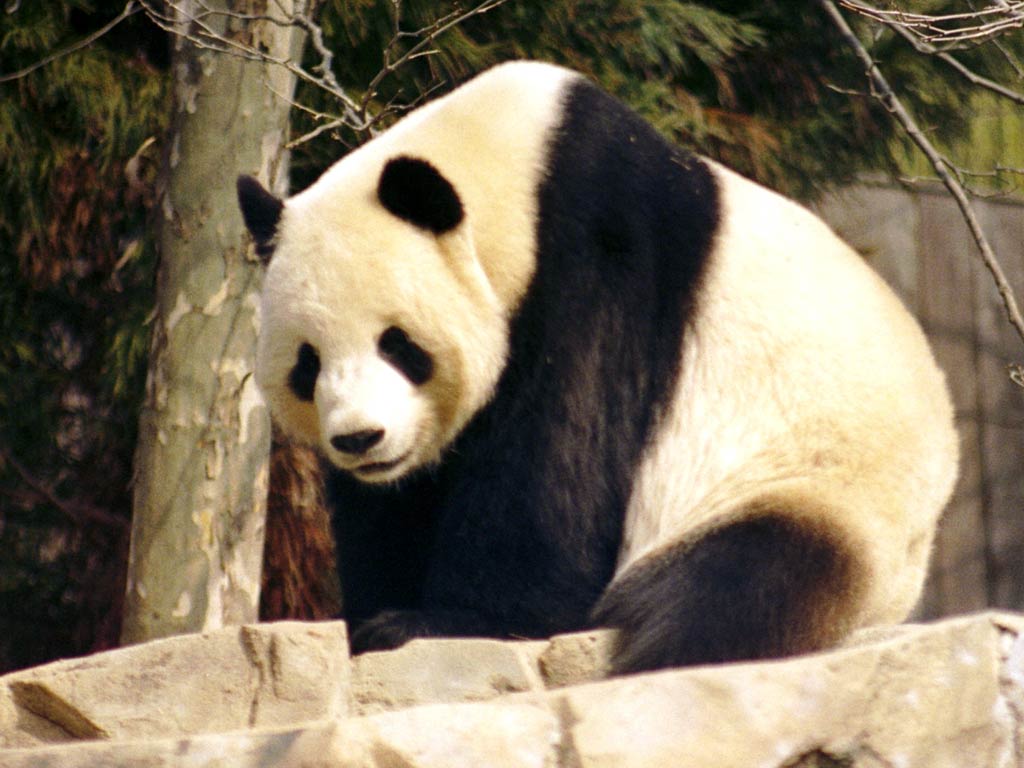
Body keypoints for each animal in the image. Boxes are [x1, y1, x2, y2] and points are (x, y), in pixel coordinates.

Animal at [237, 60, 958, 674]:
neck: (516, 170)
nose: (361, 439)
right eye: (308, 364)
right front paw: (375, 612)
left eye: (398, 344)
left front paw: (440, 621)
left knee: (736, 589)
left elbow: (560, 456)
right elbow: (395, 505)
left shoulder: (599, 262)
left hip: (813, 484)